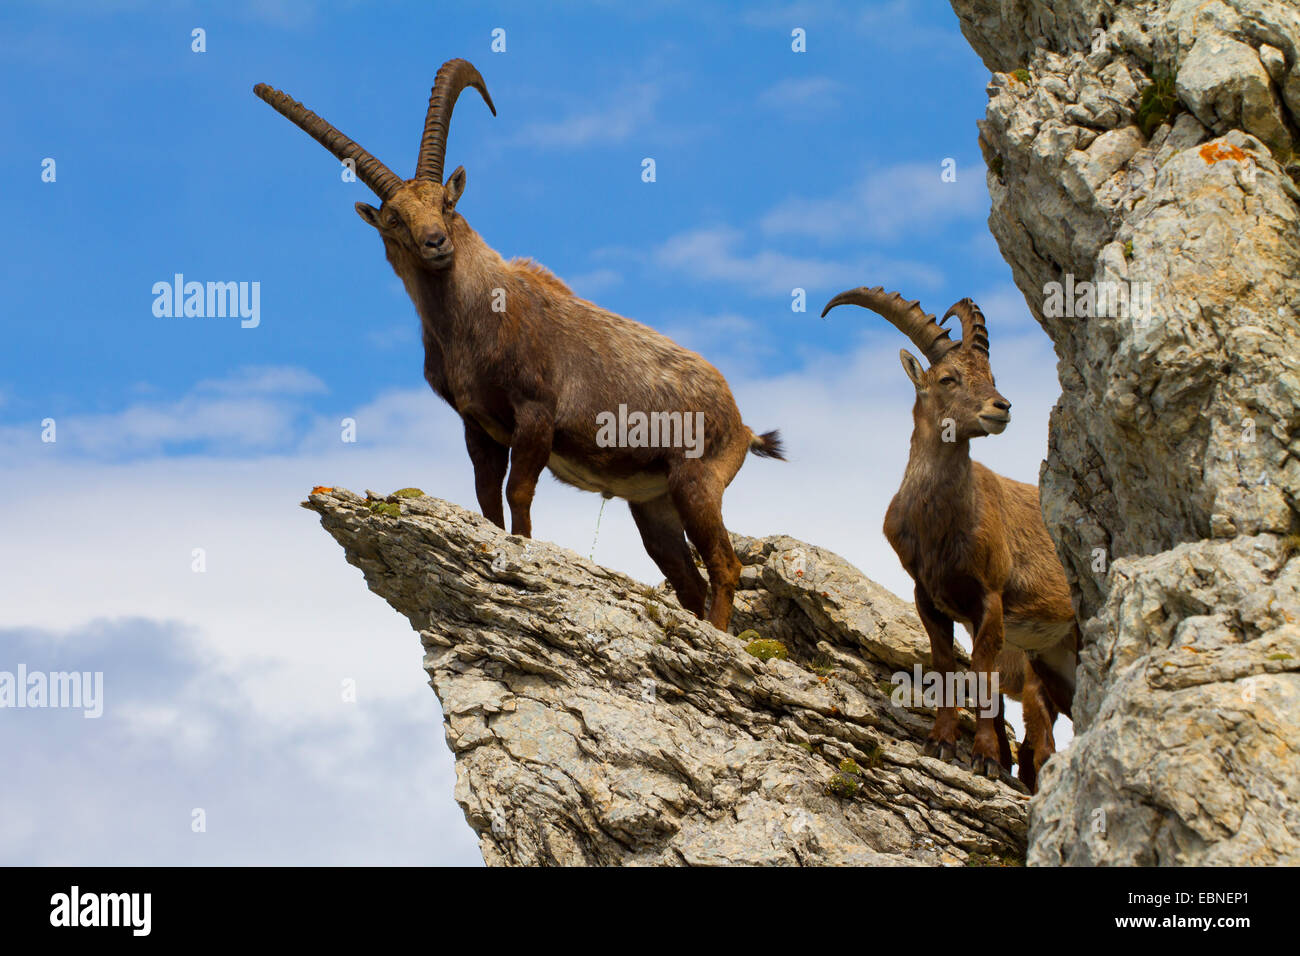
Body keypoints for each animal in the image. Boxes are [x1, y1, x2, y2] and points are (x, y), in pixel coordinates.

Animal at [255, 59, 784, 632]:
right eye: (394, 219)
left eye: (447, 203)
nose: (435, 243)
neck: (472, 323)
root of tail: (742, 424)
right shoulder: (477, 423)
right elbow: (487, 495)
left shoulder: (536, 414)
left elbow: (519, 493)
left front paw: (523, 555)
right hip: (654, 504)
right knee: (687, 578)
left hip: (697, 479)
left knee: (724, 564)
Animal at [823, 287, 1076, 790]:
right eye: (947, 378)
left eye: (991, 377)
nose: (1001, 408)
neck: (939, 521)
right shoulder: (928, 596)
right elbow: (945, 666)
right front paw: (940, 742)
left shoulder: (990, 599)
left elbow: (981, 674)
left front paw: (986, 758)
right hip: (1055, 661)